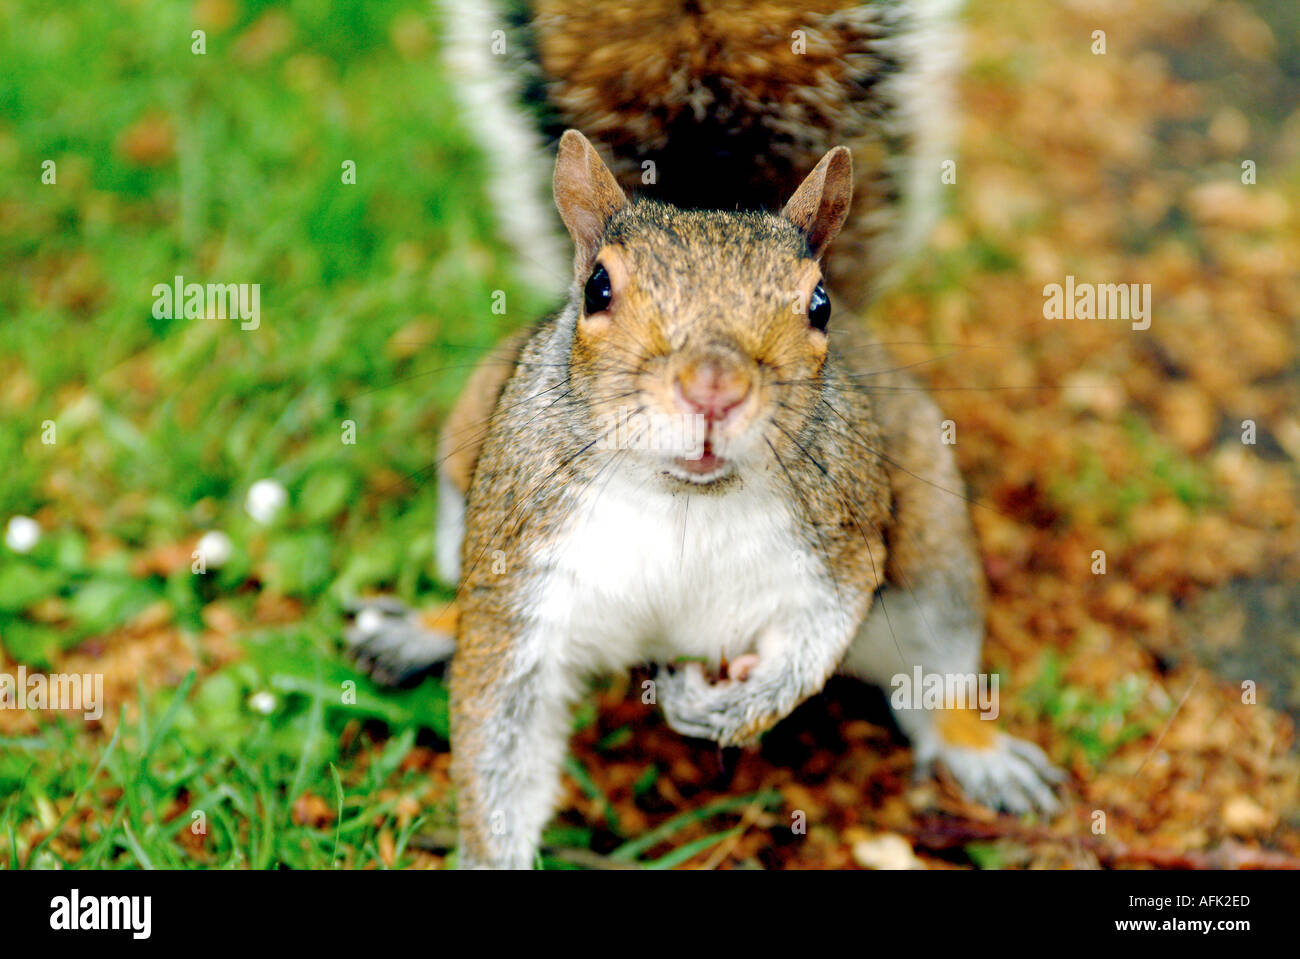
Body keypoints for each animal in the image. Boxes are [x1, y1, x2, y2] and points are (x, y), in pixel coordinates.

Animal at [346, 1, 1064, 869]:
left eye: (818, 303)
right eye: (598, 288)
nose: (714, 389)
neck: (683, 498)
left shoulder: (843, 539)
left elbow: (816, 641)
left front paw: (732, 708)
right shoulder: (518, 571)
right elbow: (496, 731)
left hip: (935, 562)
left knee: (935, 679)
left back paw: (980, 752)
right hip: (465, 480)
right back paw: (417, 631)